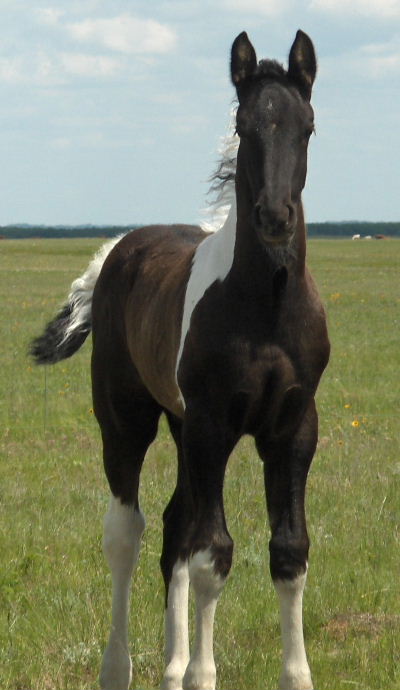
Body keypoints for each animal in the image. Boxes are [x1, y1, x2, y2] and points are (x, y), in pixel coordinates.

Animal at [31, 30, 330, 690]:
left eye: (308, 127)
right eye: (244, 125)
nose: (275, 218)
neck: (265, 305)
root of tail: (117, 251)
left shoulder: (294, 429)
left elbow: (288, 551)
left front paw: (291, 675)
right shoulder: (213, 426)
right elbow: (213, 553)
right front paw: (202, 674)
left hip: (180, 425)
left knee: (174, 528)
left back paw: (169, 667)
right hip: (129, 421)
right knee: (130, 532)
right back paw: (120, 668)